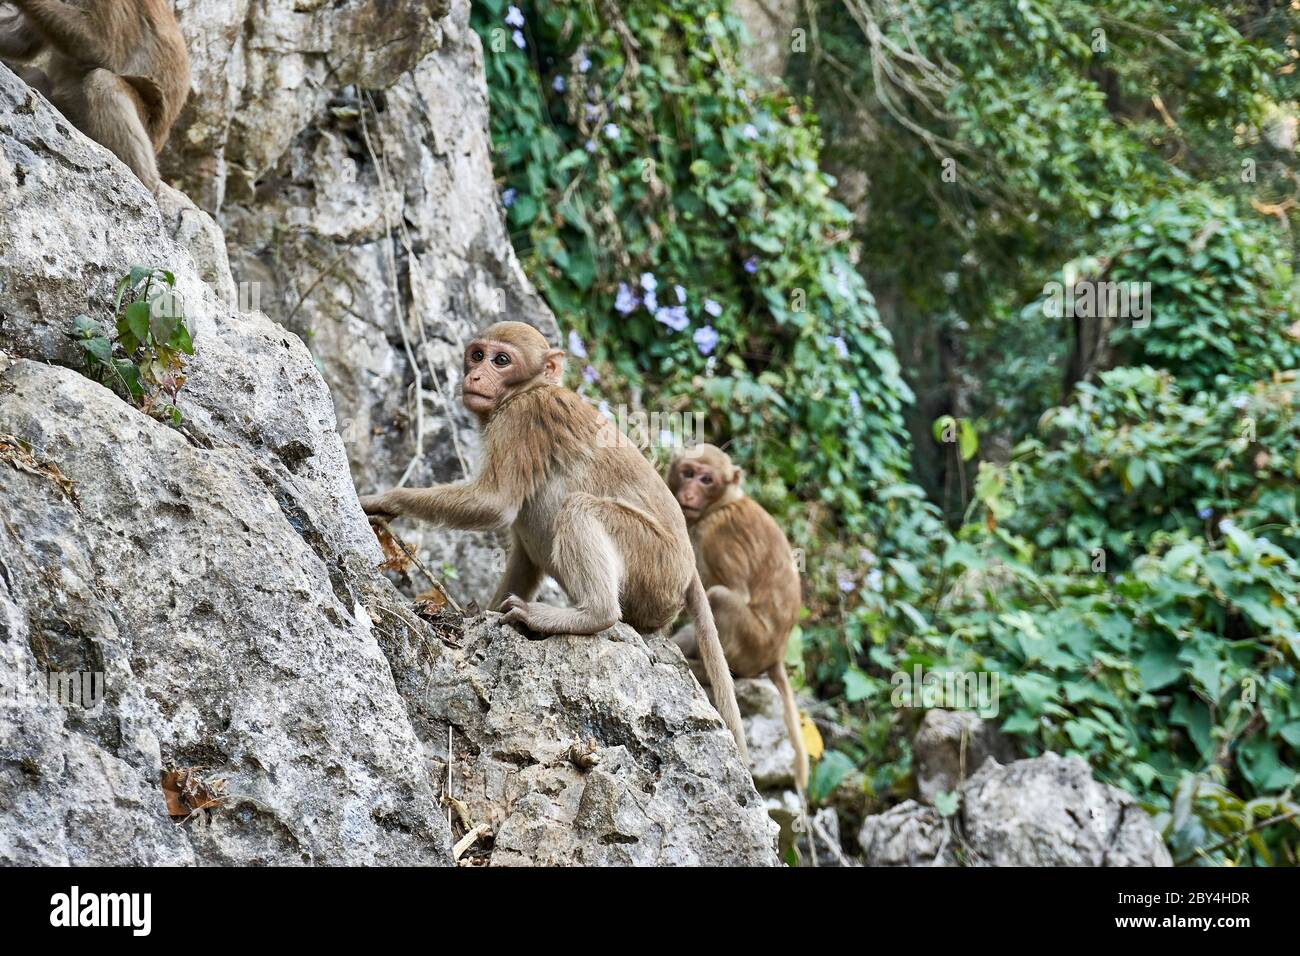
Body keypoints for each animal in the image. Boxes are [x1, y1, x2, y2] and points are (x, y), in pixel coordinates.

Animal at [0, 0, 190, 191]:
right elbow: (22, 42)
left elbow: (102, 49)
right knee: (37, 76)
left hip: (148, 119)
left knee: (104, 82)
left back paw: (138, 179)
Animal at [359, 322, 749, 762]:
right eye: (477, 355)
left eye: (501, 360)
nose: (474, 376)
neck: (528, 389)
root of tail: (688, 572)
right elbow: (524, 557)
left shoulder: (523, 417)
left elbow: (495, 503)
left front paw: (386, 500)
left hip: (653, 563)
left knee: (579, 509)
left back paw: (589, 615)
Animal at [668, 443, 808, 793]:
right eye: (687, 473)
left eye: (706, 479)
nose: (689, 492)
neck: (723, 504)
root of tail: (775, 656)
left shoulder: (717, 534)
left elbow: (733, 593)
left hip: (751, 642)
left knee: (720, 597)